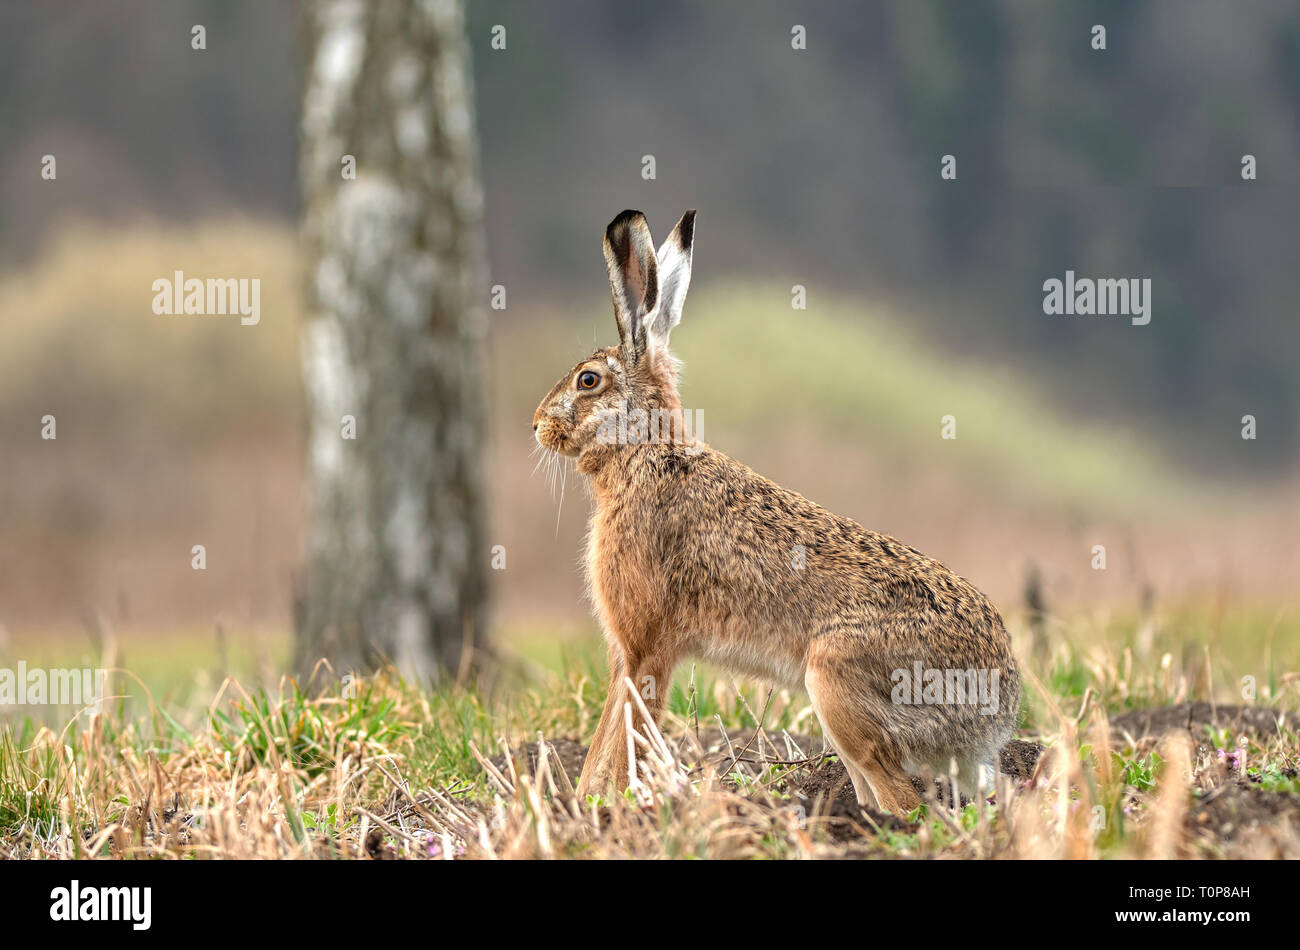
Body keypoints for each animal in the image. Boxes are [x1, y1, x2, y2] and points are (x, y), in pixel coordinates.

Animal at [532, 209, 1020, 813]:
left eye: (588, 381)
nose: (536, 425)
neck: (645, 454)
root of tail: (996, 714)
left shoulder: (647, 647)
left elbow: (629, 734)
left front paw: (611, 806)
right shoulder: (629, 653)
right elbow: (608, 733)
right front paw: (585, 801)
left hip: (838, 685)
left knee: (904, 800)